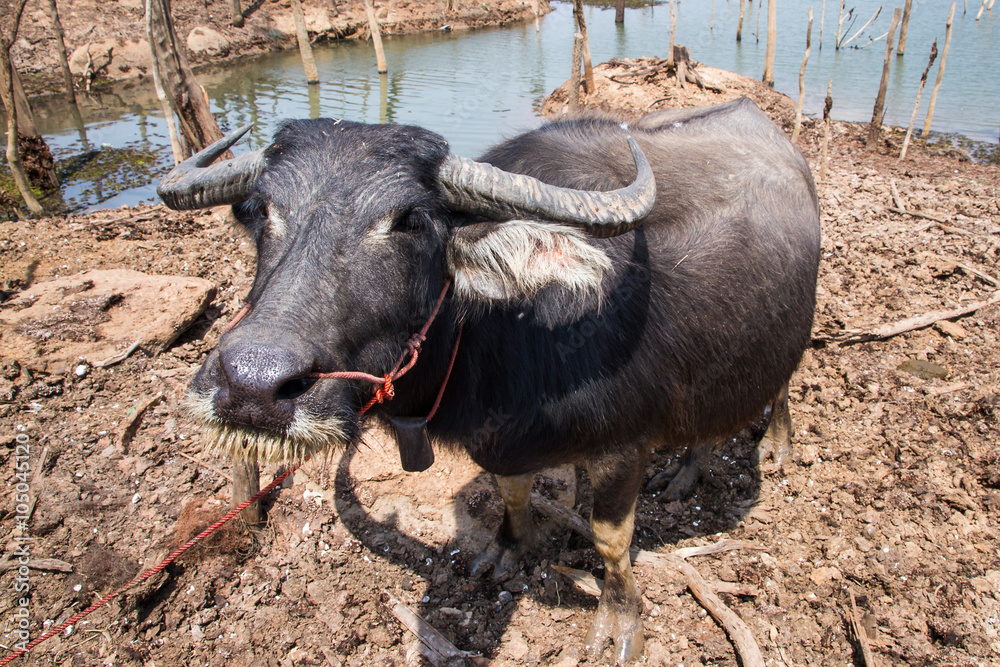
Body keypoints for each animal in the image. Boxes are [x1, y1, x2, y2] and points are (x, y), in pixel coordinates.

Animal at [158, 97, 820, 664]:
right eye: (260, 211)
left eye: (409, 221)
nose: (251, 386)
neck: (502, 331)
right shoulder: (504, 442)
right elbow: (511, 491)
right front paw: (507, 548)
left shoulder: (622, 447)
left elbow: (611, 539)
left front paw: (619, 626)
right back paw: (685, 470)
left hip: (789, 335)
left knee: (780, 386)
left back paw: (776, 445)